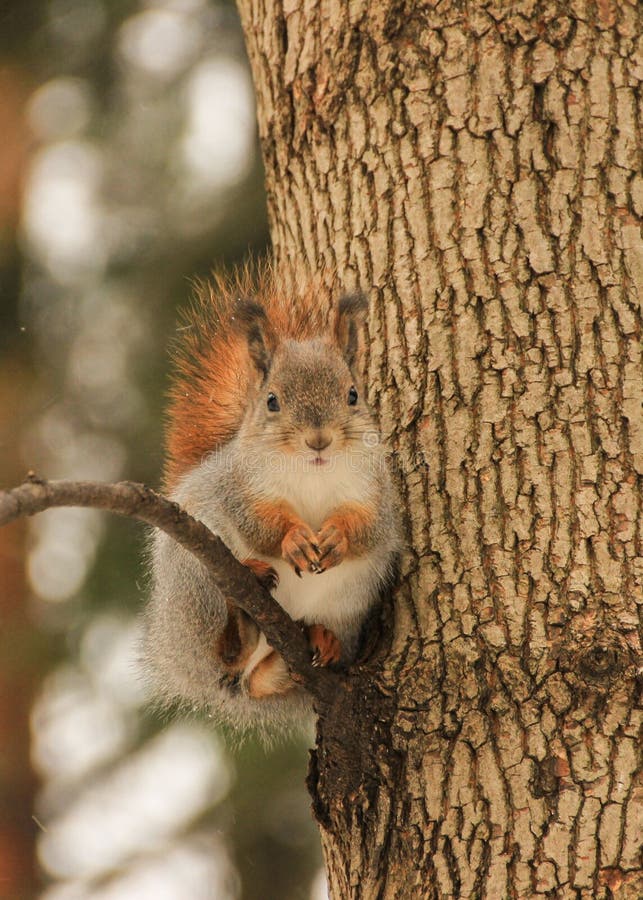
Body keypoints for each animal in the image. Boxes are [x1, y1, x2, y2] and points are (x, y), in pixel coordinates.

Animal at [144, 266, 403, 732]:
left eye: (352, 395)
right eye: (272, 401)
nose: (318, 440)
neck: (312, 472)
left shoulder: (374, 491)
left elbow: (367, 527)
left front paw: (335, 538)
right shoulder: (240, 488)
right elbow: (260, 522)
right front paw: (294, 540)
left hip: (348, 606)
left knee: (254, 682)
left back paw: (313, 643)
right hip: (195, 582)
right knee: (226, 660)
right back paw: (242, 620)